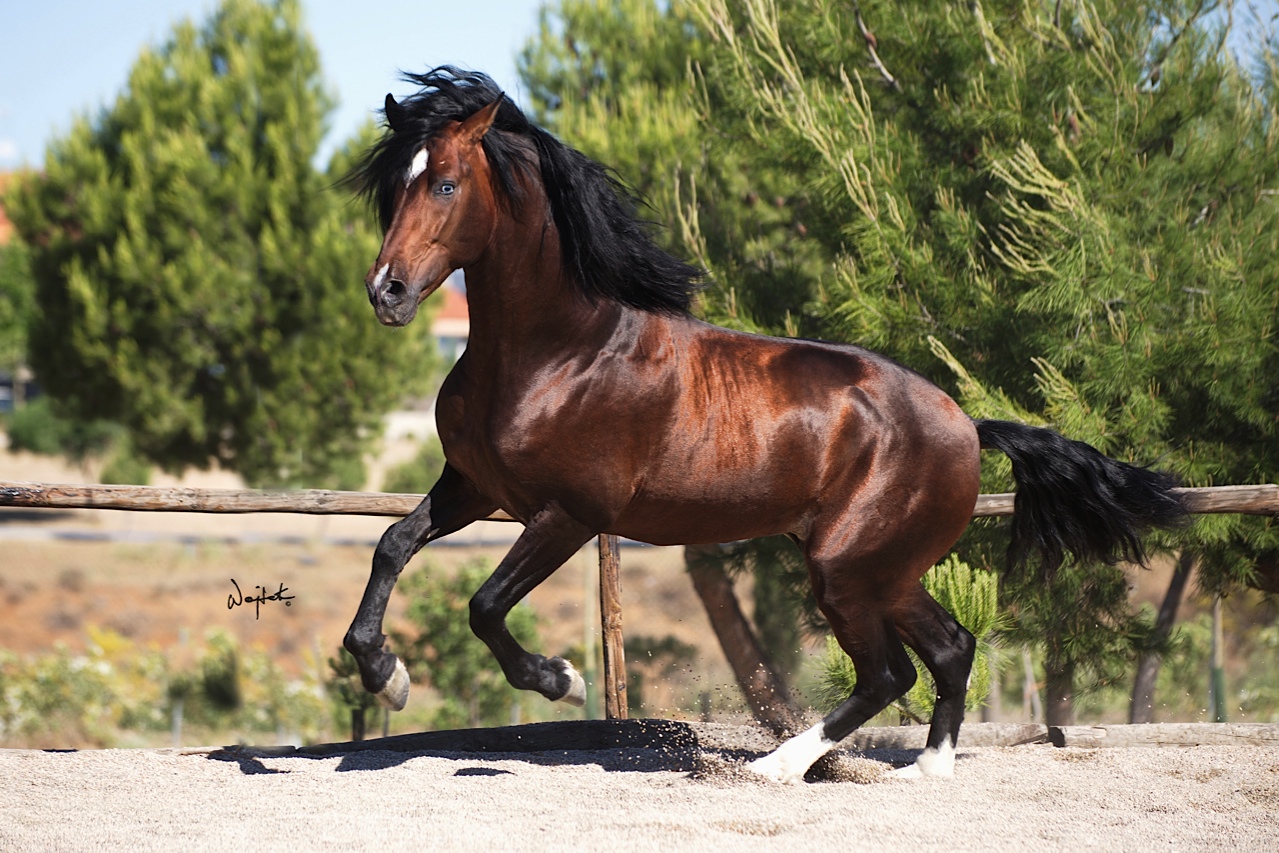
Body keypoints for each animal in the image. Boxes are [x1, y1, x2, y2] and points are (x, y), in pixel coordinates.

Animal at [342, 68, 1186, 782]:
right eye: (391, 190)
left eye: (445, 183)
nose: (385, 292)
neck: (559, 351)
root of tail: (967, 424)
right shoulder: (473, 486)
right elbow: (391, 545)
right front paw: (388, 674)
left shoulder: (570, 513)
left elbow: (484, 604)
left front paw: (560, 677)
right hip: (885, 569)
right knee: (950, 648)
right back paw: (925, 768)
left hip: (846, 567)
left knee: (890, 670)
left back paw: (776, 765)